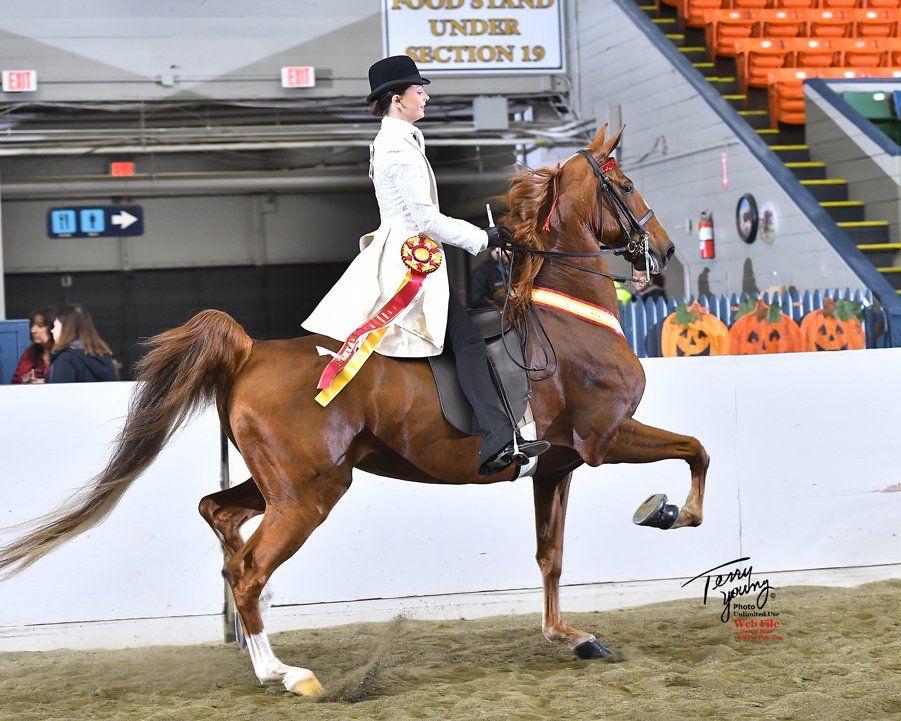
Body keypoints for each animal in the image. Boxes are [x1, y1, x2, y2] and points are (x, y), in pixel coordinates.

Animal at [0, 124, 709, 697]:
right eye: (626, 183)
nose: (666, 251)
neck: (567, 318)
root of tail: (249, 349)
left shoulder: (556, 464)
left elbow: (550, 556)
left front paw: (572, 637)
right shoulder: (606, 438)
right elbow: (696, 450)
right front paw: (670, 513)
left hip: (286, 484)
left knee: (221, 525)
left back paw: (257, 647)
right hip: (309, 494)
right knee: (248, 571)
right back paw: (285, 674)